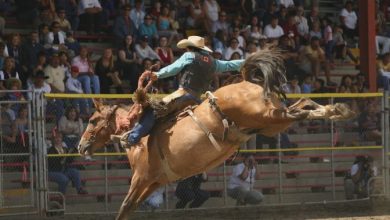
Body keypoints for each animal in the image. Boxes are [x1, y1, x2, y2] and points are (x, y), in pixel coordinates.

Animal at [77, 49, 354, 220]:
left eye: (92, 120)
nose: (80, 146)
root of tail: (247, 83)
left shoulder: (142, 177)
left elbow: (125, 207)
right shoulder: (154, 181)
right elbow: (131, 207)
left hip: (270, 117)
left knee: (299, 113)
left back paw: (336, 110)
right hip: (271, 122)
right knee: (303, 105)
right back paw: (337, 110)